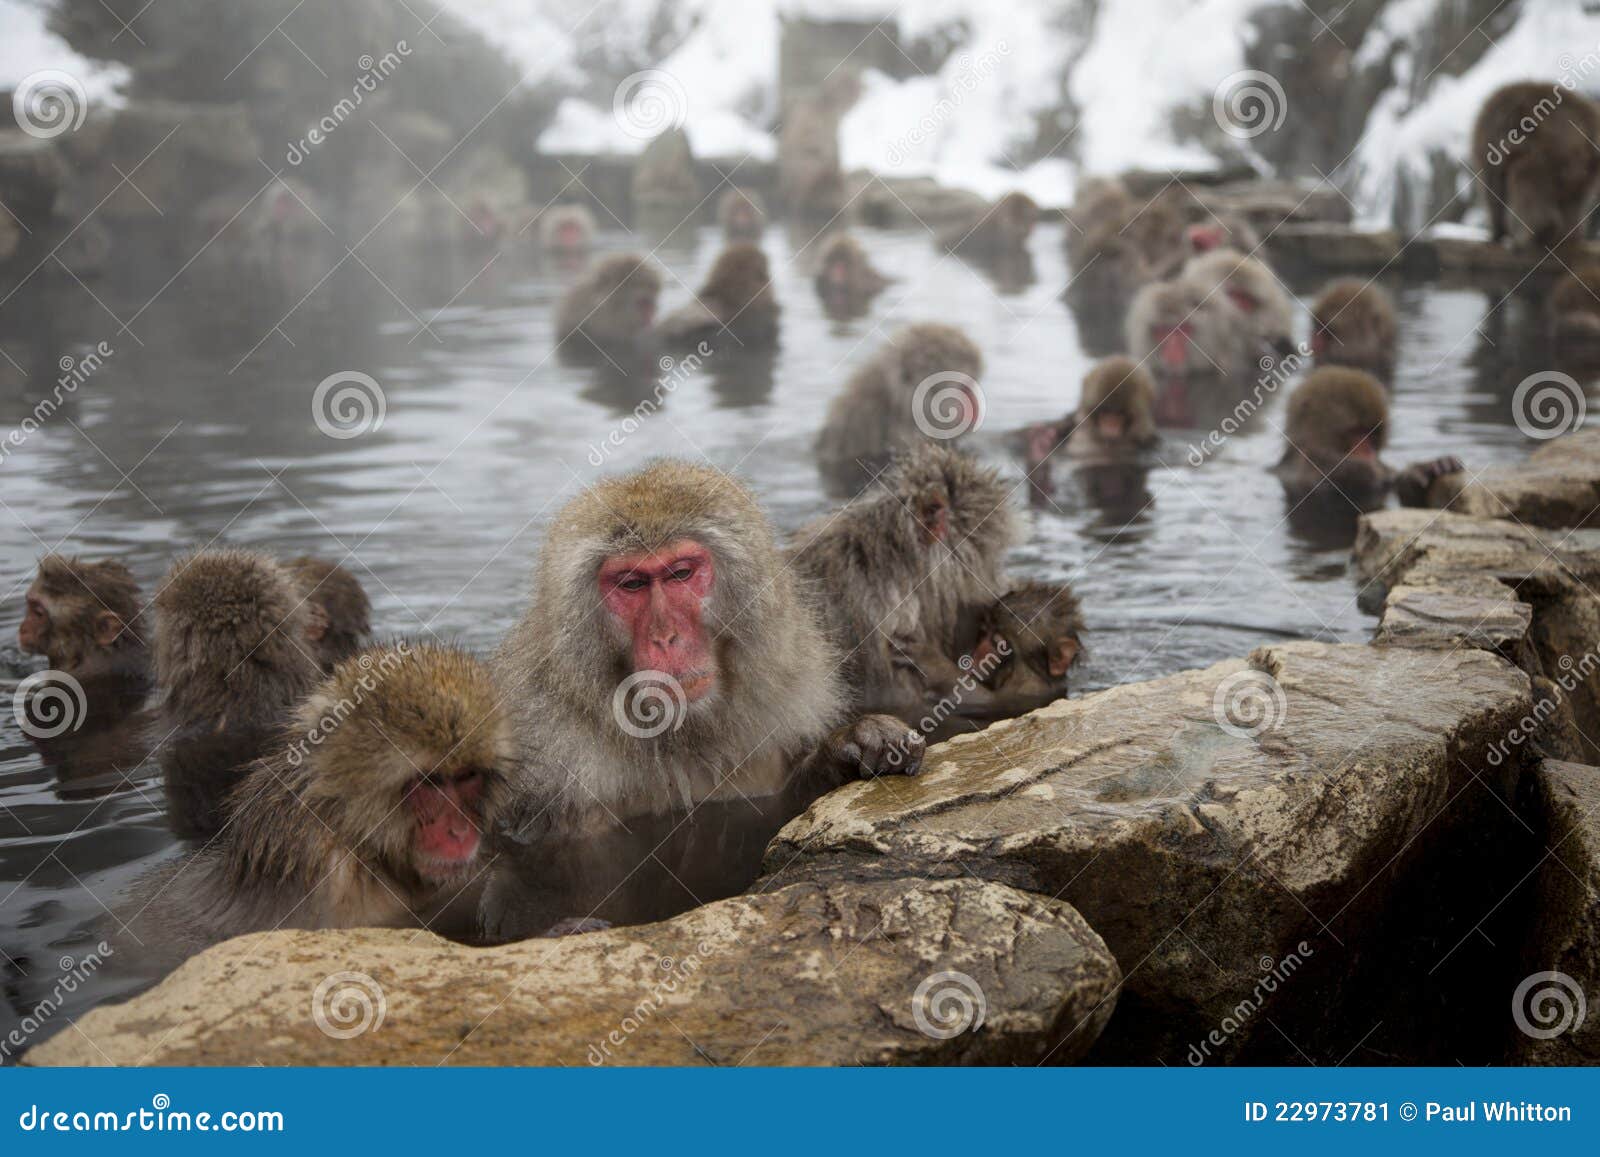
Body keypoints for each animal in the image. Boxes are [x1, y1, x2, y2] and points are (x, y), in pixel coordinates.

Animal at [492, 459, 924, 834]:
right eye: (632, 584)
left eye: (680, 574)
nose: (665, 636)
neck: (682, 737)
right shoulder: (545, 761)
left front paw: (851, 745)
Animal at [1473, 83, 1600, 249]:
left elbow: (1494, 191)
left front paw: (1497, 234)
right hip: (1583, 167)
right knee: (1573, 197)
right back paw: (1568, 235)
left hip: (1553, 152)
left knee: (1524, 174)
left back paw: (1537, 232)